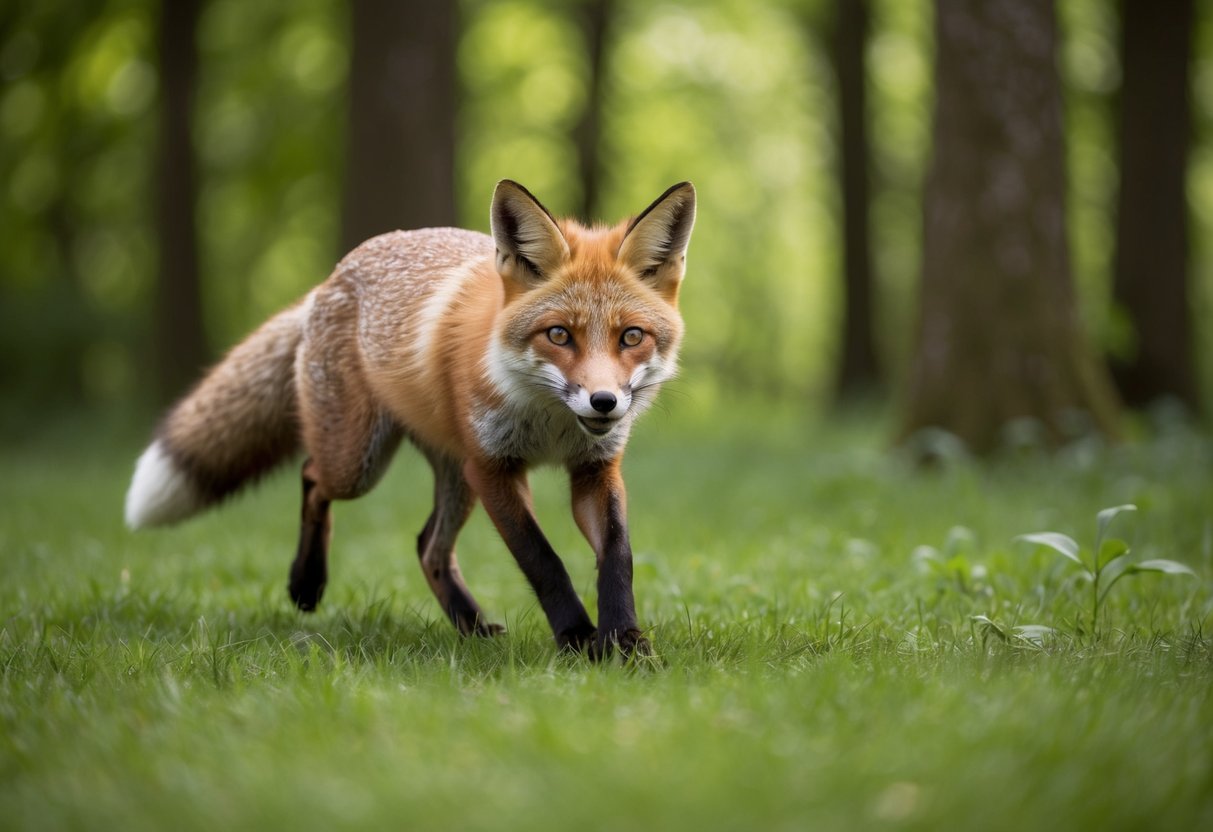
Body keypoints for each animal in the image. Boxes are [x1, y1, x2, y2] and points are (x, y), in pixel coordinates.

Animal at [124, 180, 695, 657]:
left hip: (454, 474)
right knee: (312, 477)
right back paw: (307, 583)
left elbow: (617, 559)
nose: (604, 402)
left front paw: (624, 643)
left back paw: (470, 626)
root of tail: (332, 278)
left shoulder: (594, 468)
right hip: (362, 462)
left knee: (427, 547)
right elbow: (543, 560)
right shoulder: (494, 469)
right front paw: (577, 639)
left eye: (631, 336)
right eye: (558, 335)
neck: (550, 423)